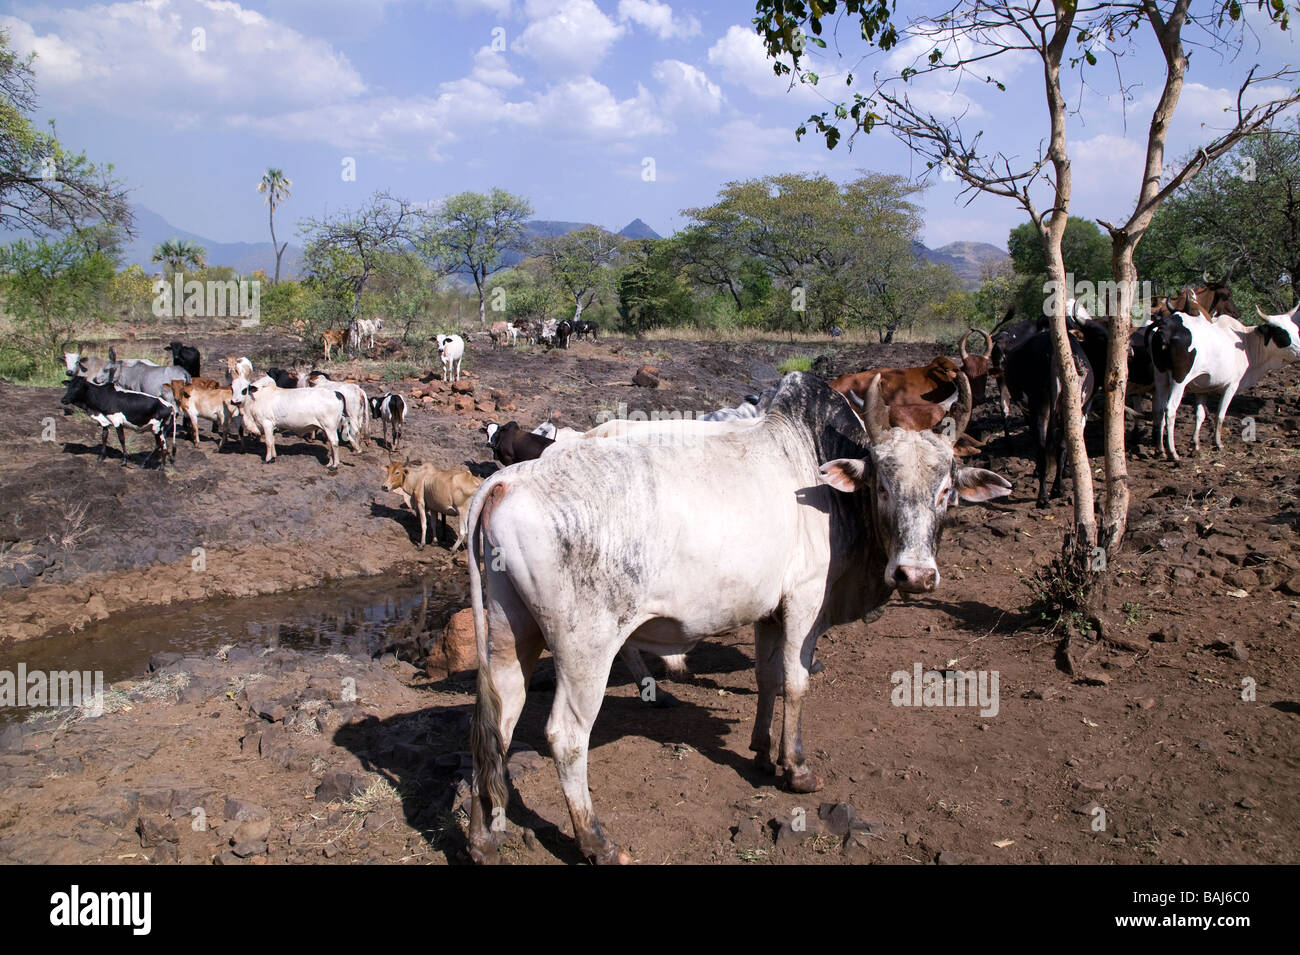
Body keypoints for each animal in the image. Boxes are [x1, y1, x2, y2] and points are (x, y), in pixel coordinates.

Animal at [463, 372, 1011, 864]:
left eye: (946, 490)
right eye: (881, 487)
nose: (914, 574)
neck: (821, 474)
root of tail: (507, 480)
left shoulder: (768, 612)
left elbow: (766, 678)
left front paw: (763, 753)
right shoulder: (805, 602)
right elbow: (795, 681)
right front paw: (796, 768)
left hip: (511, 635)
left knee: (498, 724)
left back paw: (485, 838)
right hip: (586, 648)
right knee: (567, 736)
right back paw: (596, 840)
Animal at [1150, 305, 1299, 460]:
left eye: (1296, 330)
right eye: (1282, 333)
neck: (1246, 343)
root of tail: (1168, 325)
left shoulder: (1201, 390)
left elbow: (1200, 415)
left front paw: (1196, 443)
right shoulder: (1231, 386)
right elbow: (1220, 415)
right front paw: (1218, 443)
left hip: (1161, 378)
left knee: (1159, 409)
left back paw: (1160, 448)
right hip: (1179, 381)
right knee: (1170, 409)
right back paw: (1172, 451)